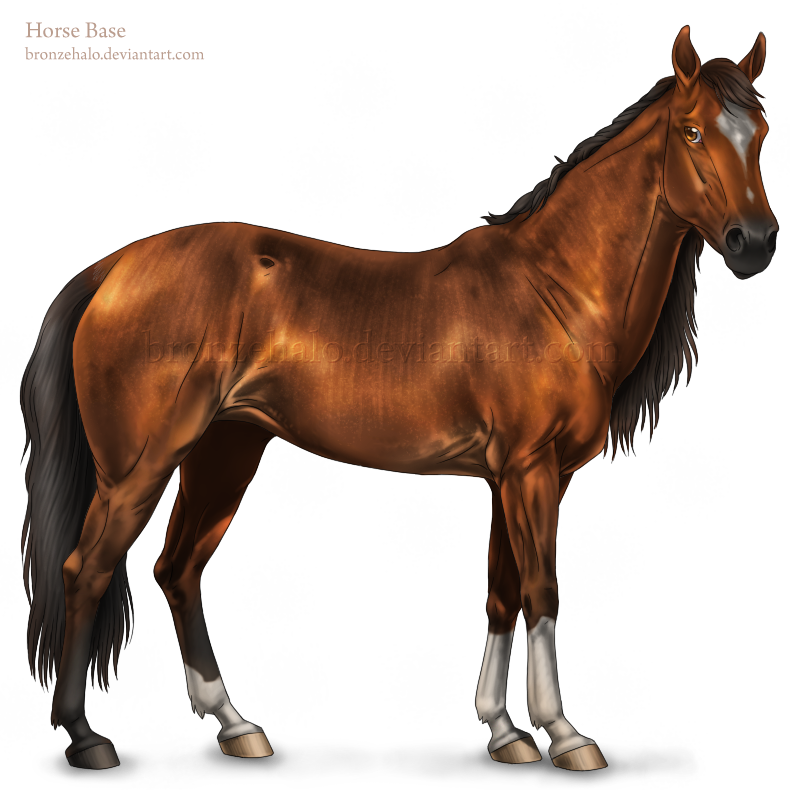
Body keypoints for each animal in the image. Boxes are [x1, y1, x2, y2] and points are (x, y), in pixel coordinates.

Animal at [20, 24, 777, 772]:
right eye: (692, 131)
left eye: (763, 130)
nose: (756, 244)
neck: (553, 289)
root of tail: (113, 269)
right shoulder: (530, 471)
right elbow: (541, 591)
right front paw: (563, 735)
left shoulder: (516, 476)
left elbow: (502, 593)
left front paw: (503, 731)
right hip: (140, 466)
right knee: (86, 570)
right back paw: (85, 737)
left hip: (226, 449)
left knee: (178, 569)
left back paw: (236, 725)